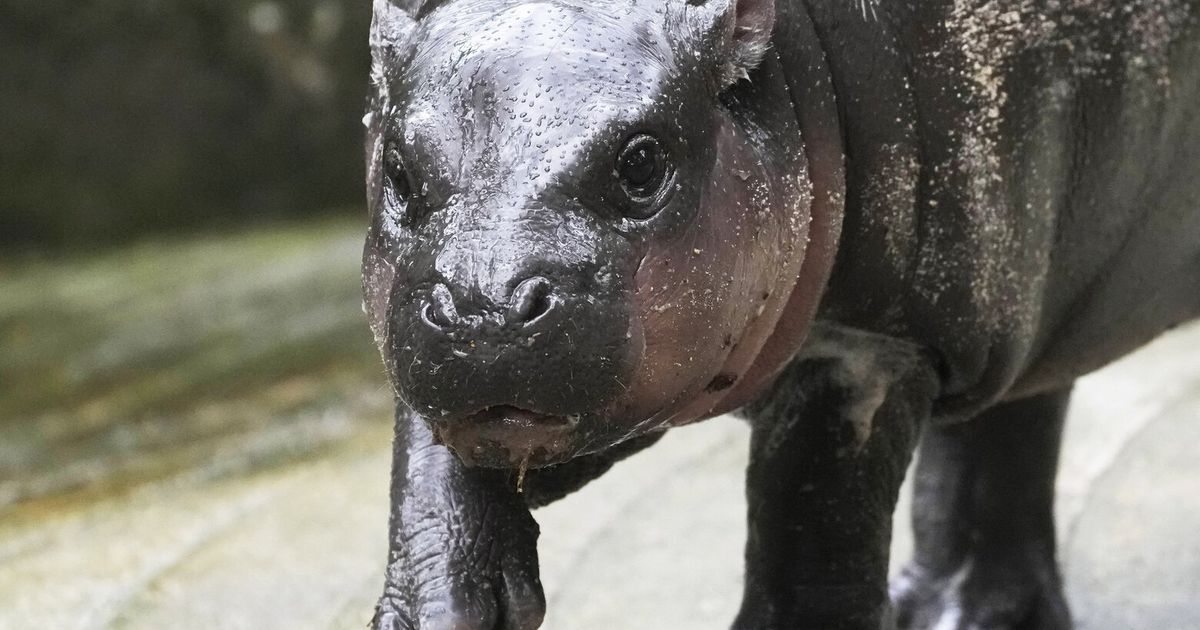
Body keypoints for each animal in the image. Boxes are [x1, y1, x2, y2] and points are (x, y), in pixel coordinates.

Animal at [360, 0, 1200, 627]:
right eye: (397, 170)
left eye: (642, 163)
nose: (483, 307)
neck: (790, 72)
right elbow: (433, 479)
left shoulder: (874, 349)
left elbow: (811, 532)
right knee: (1009, 425)